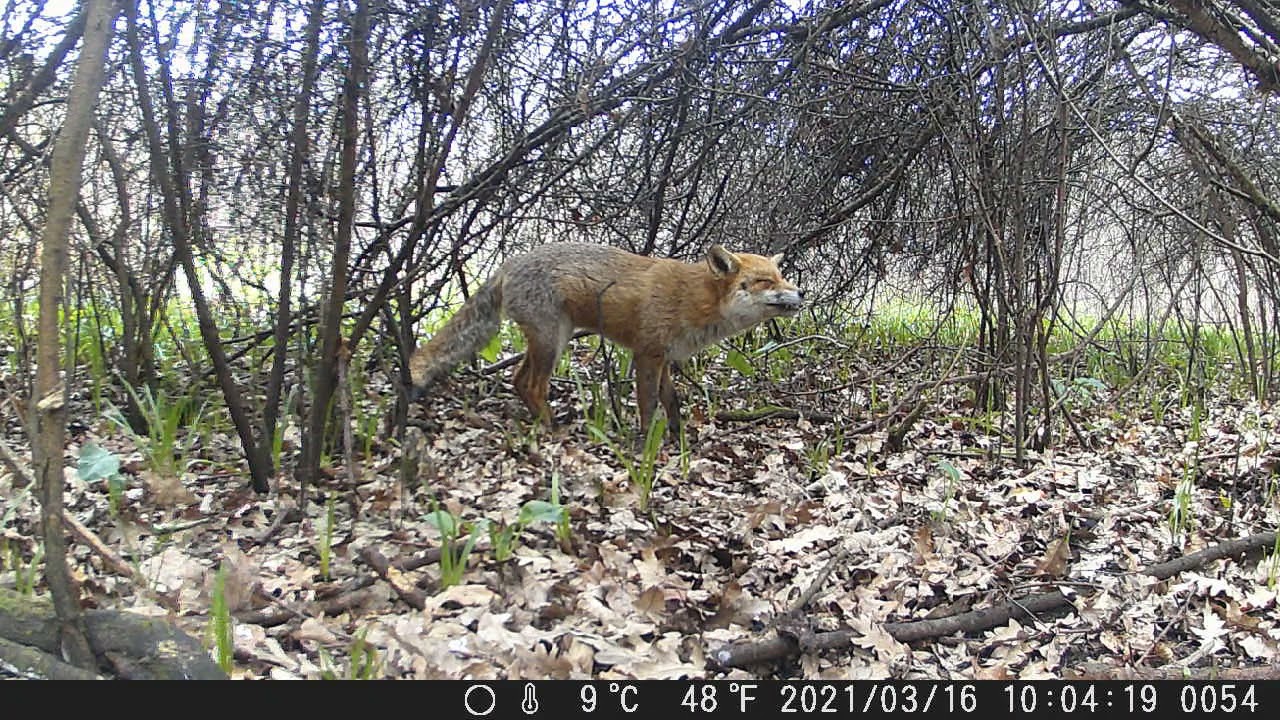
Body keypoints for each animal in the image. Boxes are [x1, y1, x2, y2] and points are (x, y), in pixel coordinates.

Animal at [409, 242, 804, 433]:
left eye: (783, 277)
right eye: (766, 281)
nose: (800, 292)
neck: (696, 300)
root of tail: (509, 263)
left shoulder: (664, 357)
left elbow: (672, 402)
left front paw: (677, 438)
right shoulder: (646, 354)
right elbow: (648, 405)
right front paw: (647, 445)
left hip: (549, 340)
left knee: (518, 380)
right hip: (552, 342)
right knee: (532, 384)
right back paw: (552, 429)